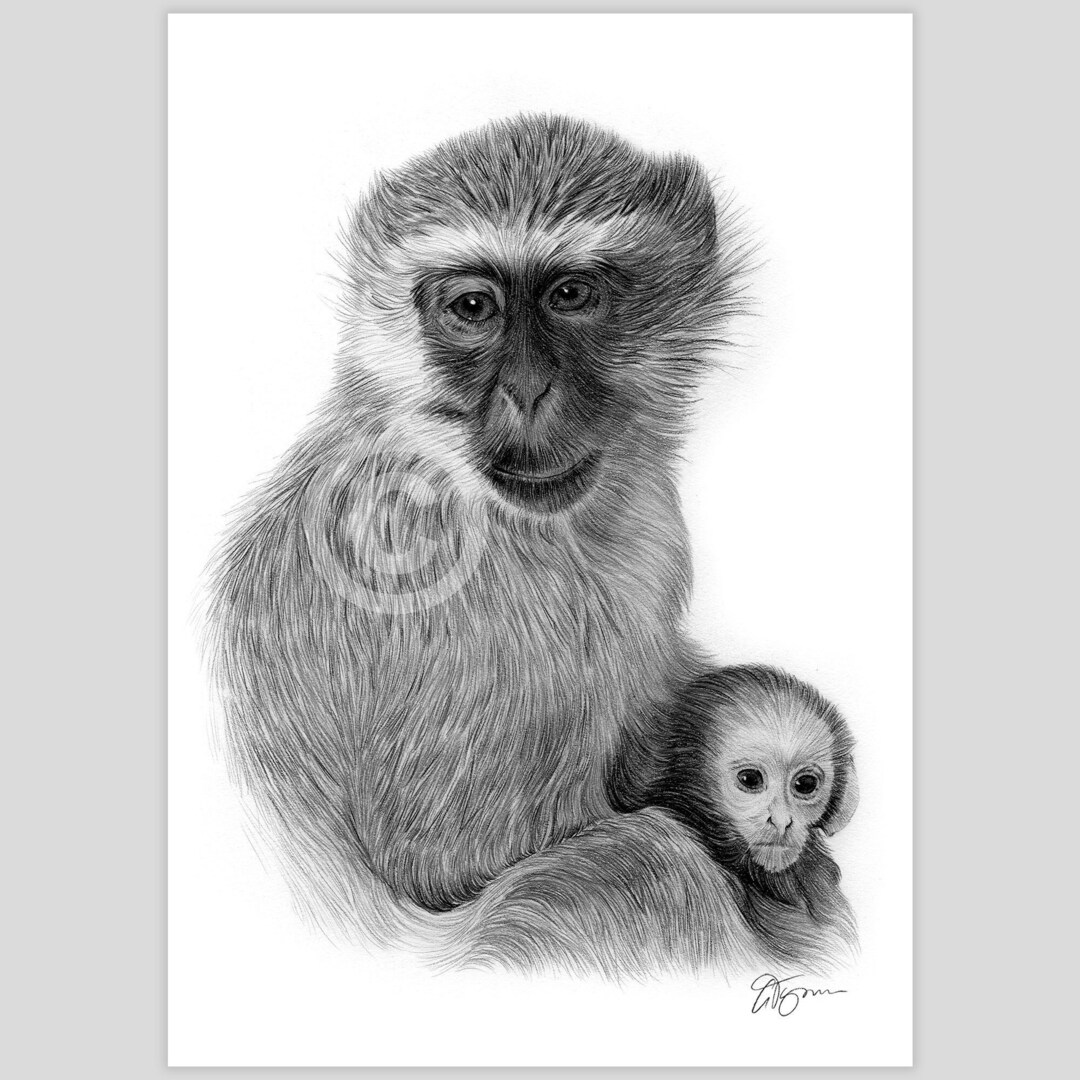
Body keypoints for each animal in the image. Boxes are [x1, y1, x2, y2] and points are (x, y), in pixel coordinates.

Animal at [206, 113, 811, 977]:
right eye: (472, 307)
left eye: (571, 295)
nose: (528, 390)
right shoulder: (416, 560)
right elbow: (446, 859)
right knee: (649, 865)